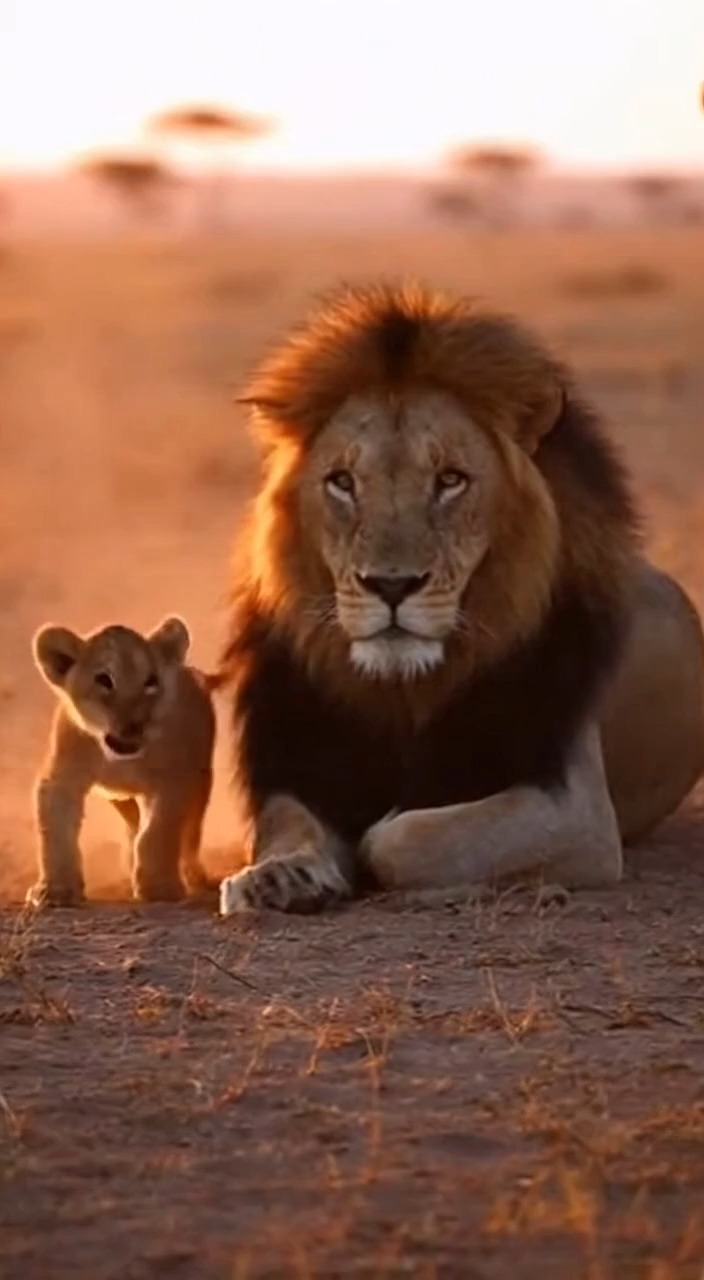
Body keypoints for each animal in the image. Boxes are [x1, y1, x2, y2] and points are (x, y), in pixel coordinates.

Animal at [29, 616, 216, 908]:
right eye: (104, 680)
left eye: (151, 681)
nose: (133, 726)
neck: (120, 761)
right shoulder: (62, 779)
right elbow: (57, 835)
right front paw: (56, 890)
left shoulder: (173, 781)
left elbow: (157, 833)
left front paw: (159, 886)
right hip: (120, 799)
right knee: (133, 825)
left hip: (201, 779)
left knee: (190, 834)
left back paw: (193, 875)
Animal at [216, 282, 704, 915]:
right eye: (342, 482)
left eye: (450, 480)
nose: (391, 586)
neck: (402, 688)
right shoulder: (298, 765)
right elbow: (286, 827)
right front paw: (280, 877)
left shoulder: (579, 812)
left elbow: (402, 838)